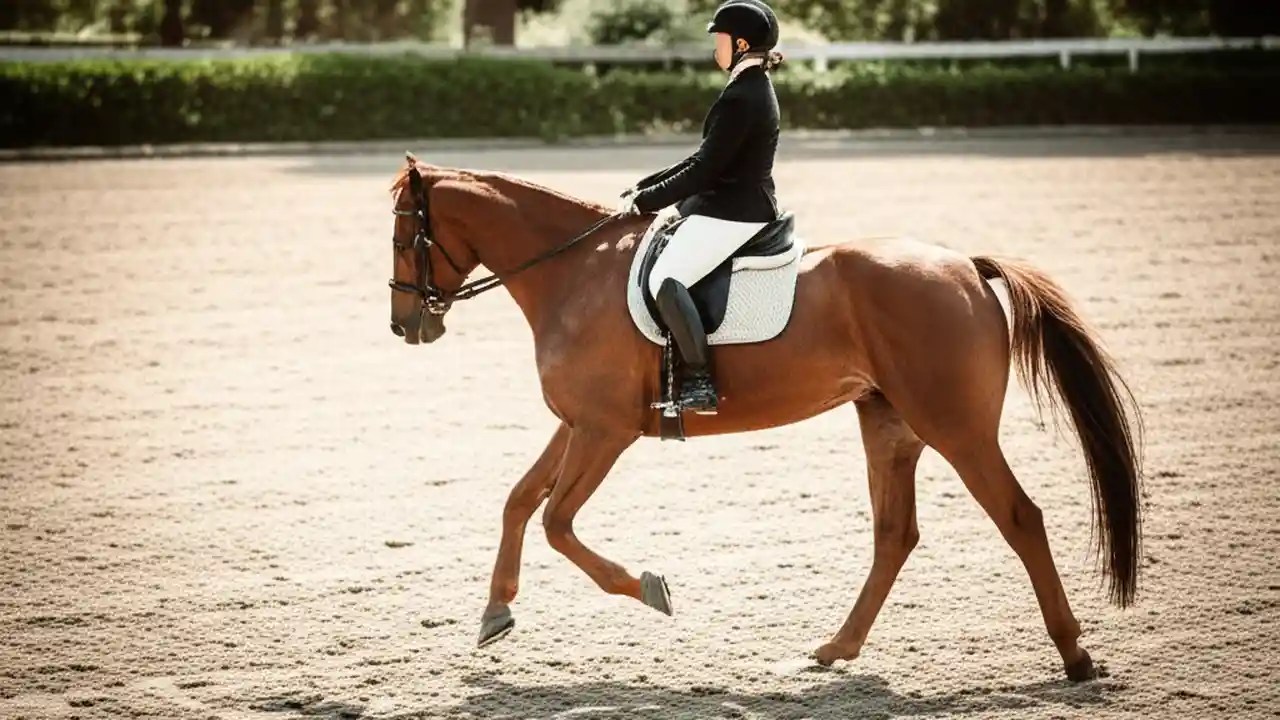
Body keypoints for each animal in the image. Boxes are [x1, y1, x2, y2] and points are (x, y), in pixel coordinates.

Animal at [386, 156, 1142, 682]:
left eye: (402, 237)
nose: (405, 327)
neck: (571, 274)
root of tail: (965, 266)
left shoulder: (604, 432)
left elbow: (556, 523)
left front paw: (652, 590)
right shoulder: (578, 424)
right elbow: (519, 501)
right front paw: (495, 612)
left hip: (956, 426)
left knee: (1019, 518)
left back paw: (1075, 658)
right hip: (889, 424)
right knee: (895, 534)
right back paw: (835, 649)